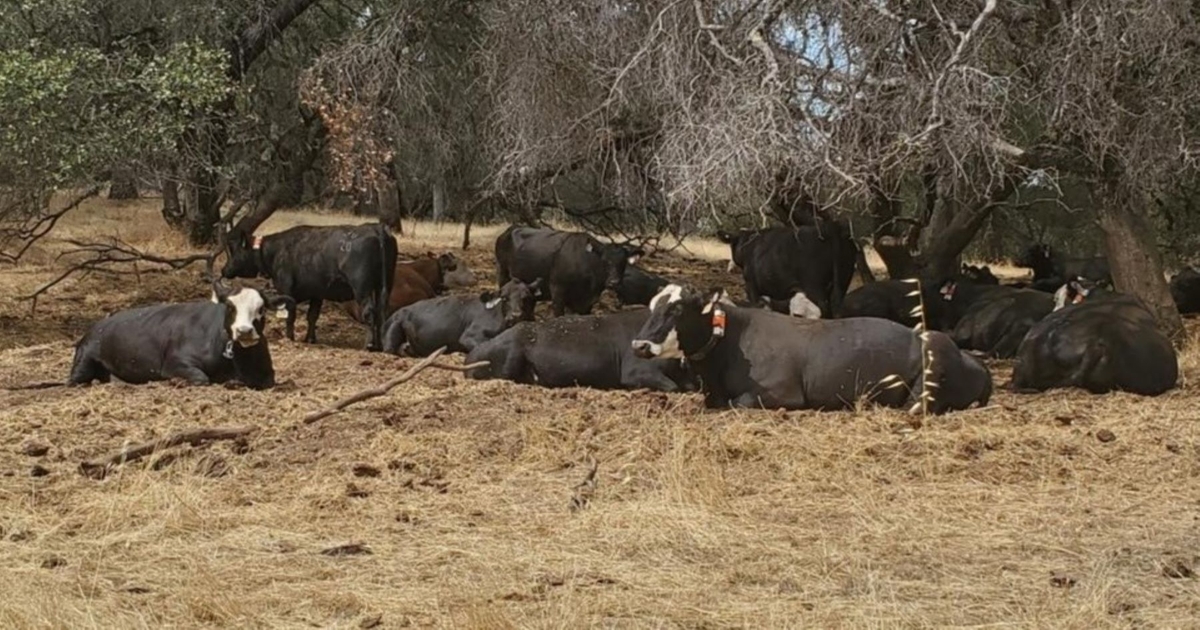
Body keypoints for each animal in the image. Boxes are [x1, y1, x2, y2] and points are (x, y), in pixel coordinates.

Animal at [68, 283, 293, 389]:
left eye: (261, 308)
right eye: (230, 306)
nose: (244, 331)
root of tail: (99, 325)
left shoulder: (267, 374)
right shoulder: (174, 363)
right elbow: (201, 377)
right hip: (83, 363)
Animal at [222, 223, 397, 351]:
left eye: (234, 252)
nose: (224, 269)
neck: (275, 251)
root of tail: (376, 228)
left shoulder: (286, 291)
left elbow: (290, 316)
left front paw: (289, 338)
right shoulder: (317, 294)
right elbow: (312, 316)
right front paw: (310, 338)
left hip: (362, 289)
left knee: (369, 312)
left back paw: (369, 345)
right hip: (384, 286)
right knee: (382, 311)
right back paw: (381, 344)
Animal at [494, 226, 643, 316]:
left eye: (623, 262)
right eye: (604, 261)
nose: (614, 282)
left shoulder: (587, 302)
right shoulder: (557, 292)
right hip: (503, 275)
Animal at [629, 285, 990, 413]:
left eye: (677, 309)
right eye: (652, 306)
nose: (639, 344)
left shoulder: (780, 394)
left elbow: (738, 403)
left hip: (929, 371)